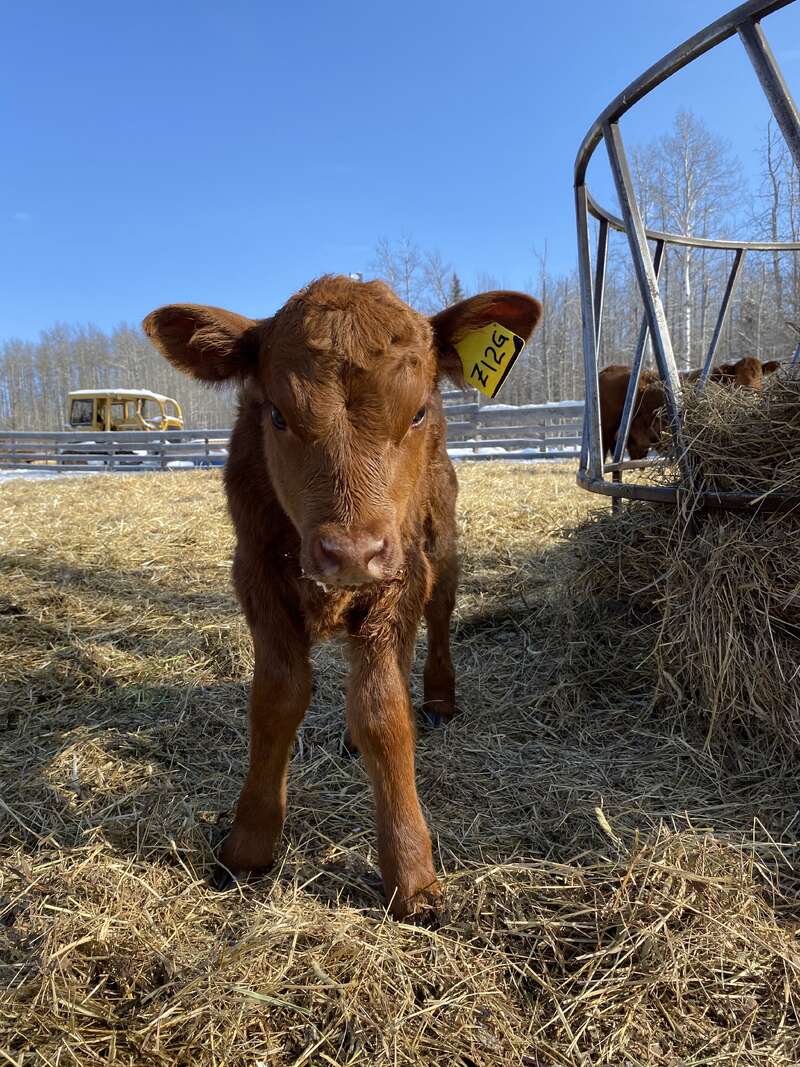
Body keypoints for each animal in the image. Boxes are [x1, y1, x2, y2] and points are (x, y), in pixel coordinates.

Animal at [143, 275, 542, 918]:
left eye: (418, 411)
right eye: (277, 415)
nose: (352, 553)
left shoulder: (399, 576)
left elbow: (383, 712)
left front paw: (411, 874)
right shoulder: (255, 574)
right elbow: (277, 698)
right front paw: (248, 844)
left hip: (439, 538)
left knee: (441, 613)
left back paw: (440, 697)